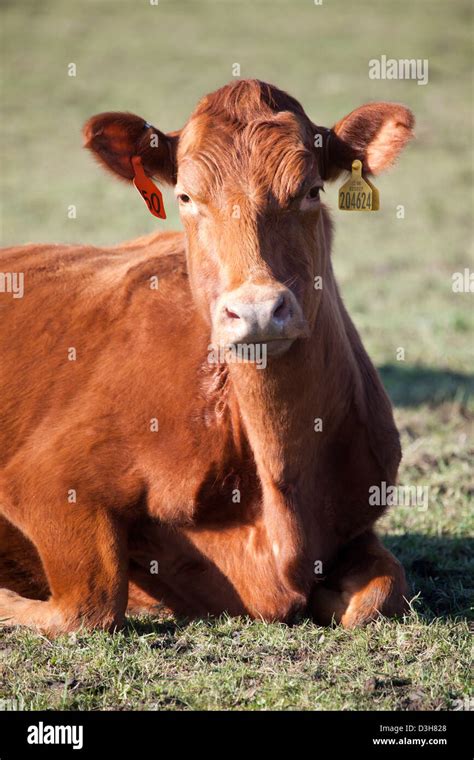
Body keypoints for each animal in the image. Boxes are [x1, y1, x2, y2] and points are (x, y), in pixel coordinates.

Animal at [0, 80, 414, 635]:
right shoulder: (44, 479)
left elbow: (383, 593)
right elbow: (92, 600)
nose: (257, 309)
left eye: (311, 190)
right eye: (185, 197)